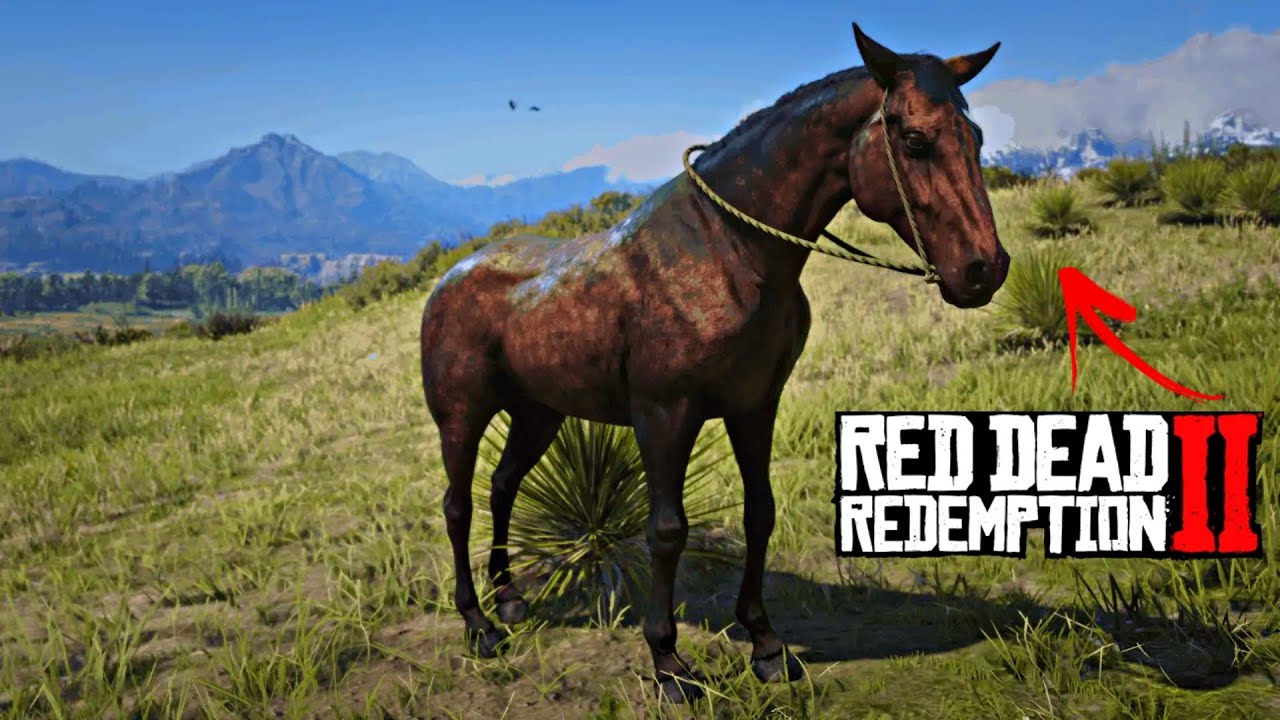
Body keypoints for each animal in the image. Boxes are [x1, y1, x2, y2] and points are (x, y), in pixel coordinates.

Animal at [419, 22, 1009, 703]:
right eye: (914, 138)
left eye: (976, 136)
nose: (985, 268)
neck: (730, 250)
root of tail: (447, 282)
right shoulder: (663, 415)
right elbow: (666, 530)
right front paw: (668, 660)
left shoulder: (754, 405)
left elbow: (761, 513)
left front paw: (766, 643)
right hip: (461, 418)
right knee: (458, 506)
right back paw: (478, 623)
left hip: (538, 414)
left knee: (502, 487)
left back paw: (510, 599)